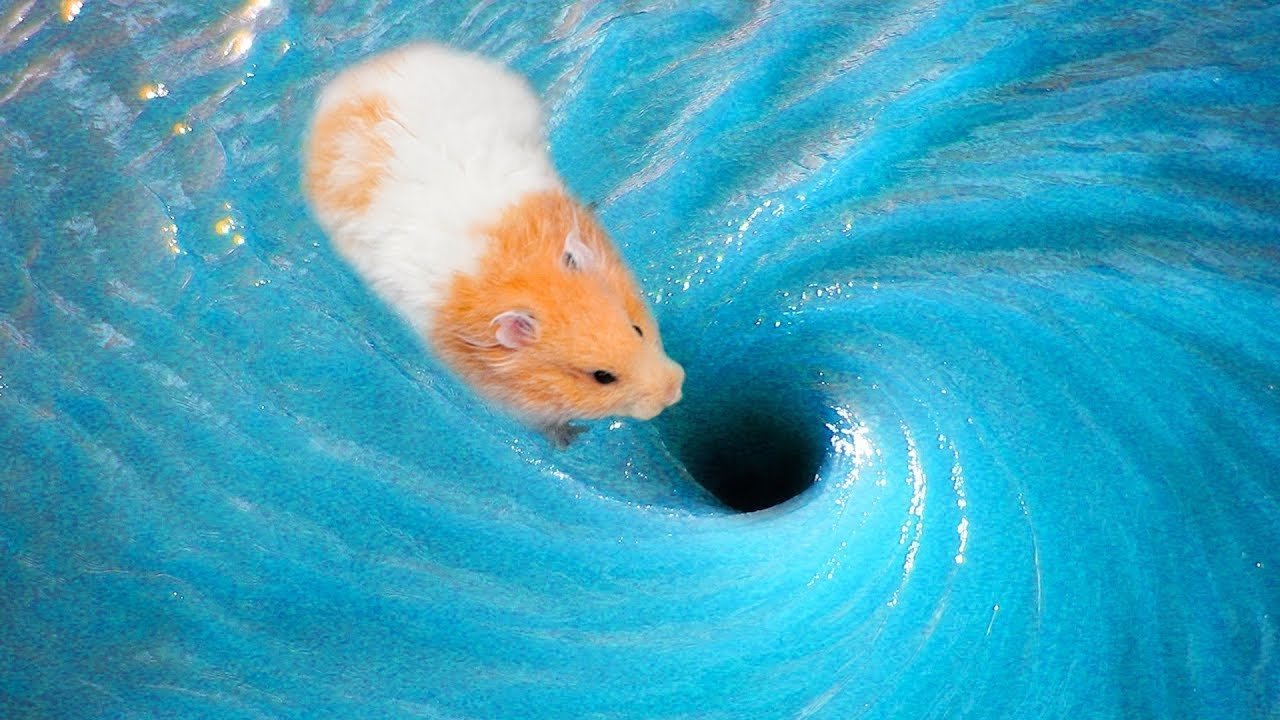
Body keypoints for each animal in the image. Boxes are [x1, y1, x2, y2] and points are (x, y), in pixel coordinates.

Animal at [302, 43, 684, 445]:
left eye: (638, 330)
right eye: (602, 377)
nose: (675, 391)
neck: (519, 276)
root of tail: (355, 76)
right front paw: (570, 439)